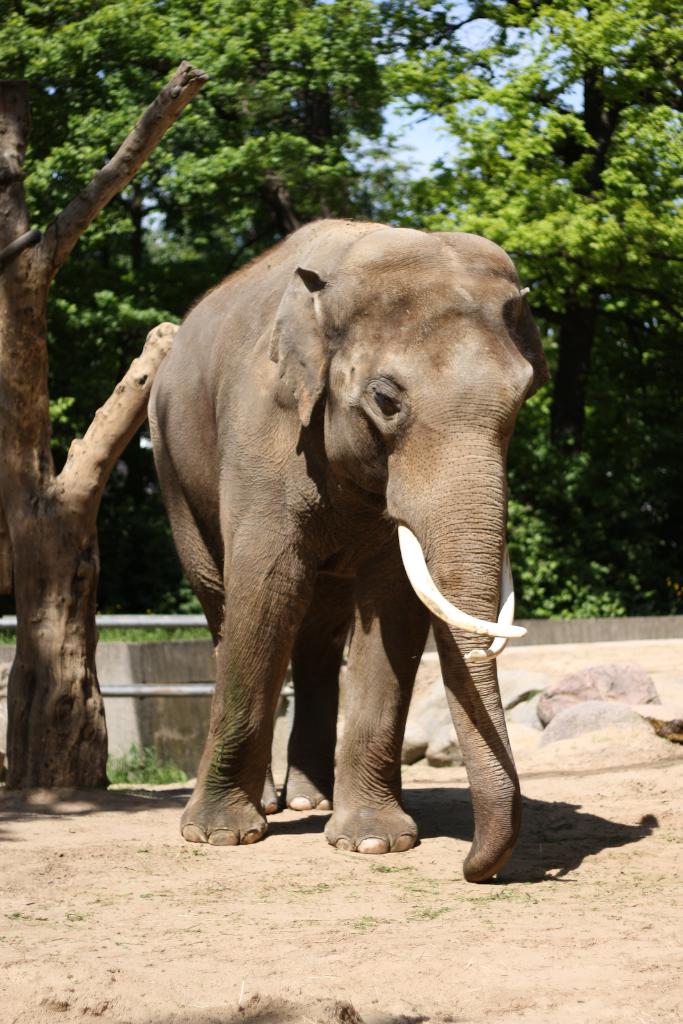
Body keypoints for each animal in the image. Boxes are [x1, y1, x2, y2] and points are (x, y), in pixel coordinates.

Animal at [149, 218, 548, 882]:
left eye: (522, 400)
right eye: (386, 400)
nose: (472, 868)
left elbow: (393, 605)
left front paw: (372, 843)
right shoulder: (262, 425)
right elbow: (266, 585)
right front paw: (220, 836)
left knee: (317, 635)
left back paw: (311, 802)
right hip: (170, 464)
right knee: (224, 606)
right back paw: (264, 805)